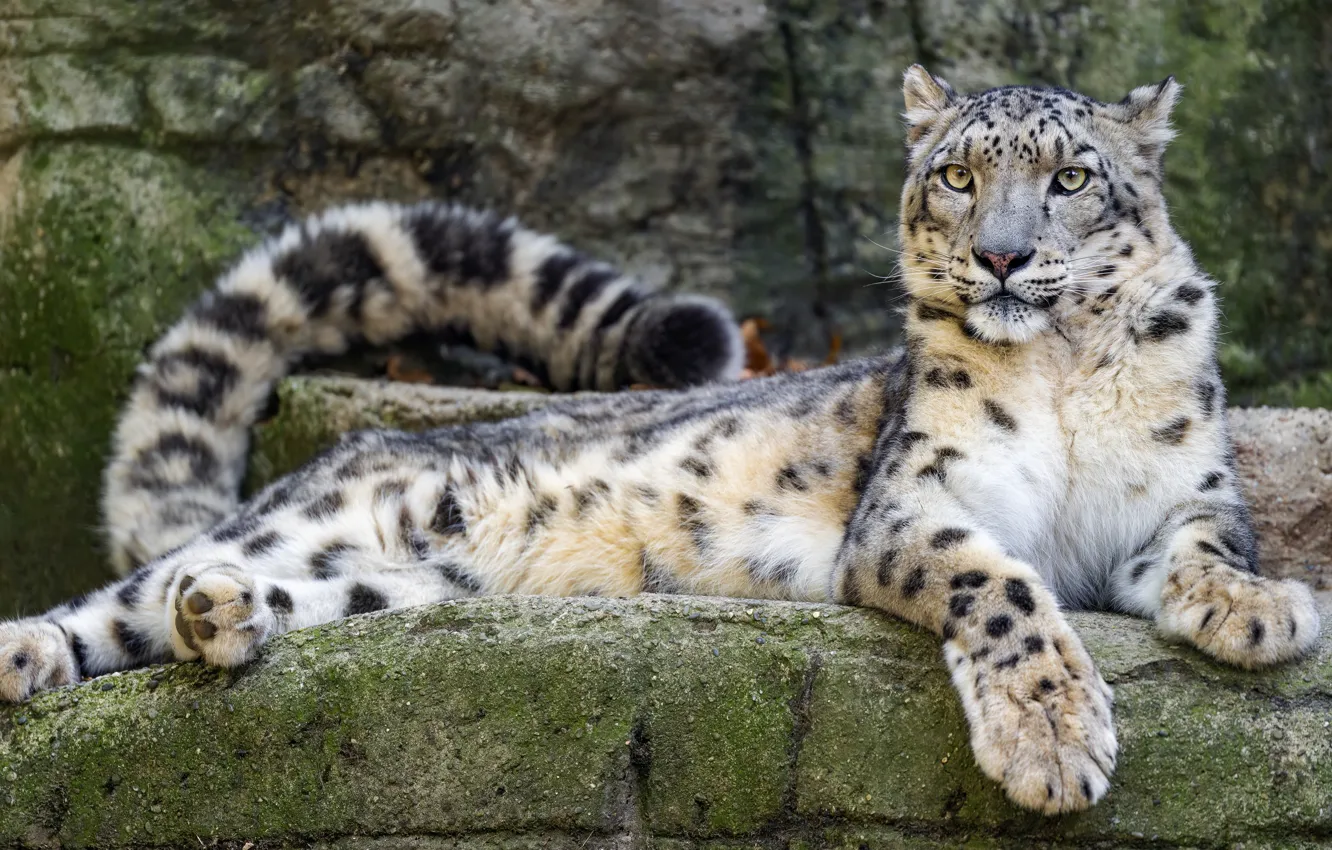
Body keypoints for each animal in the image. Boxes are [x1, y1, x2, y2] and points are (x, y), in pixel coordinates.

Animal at [0, 66, 1319, 815]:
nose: (999, 255)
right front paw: (1051, 742)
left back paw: (226, 620)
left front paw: (1263, 613)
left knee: (231, 602)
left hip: (380, 583)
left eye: (1071, 179)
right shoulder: (920, 499)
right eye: (955, 175)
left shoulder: (1180, 500)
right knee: (111, 600)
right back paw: (35, 647)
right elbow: (1003, 586)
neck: (1058, 369)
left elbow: (1210, 549)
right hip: (303, 521)